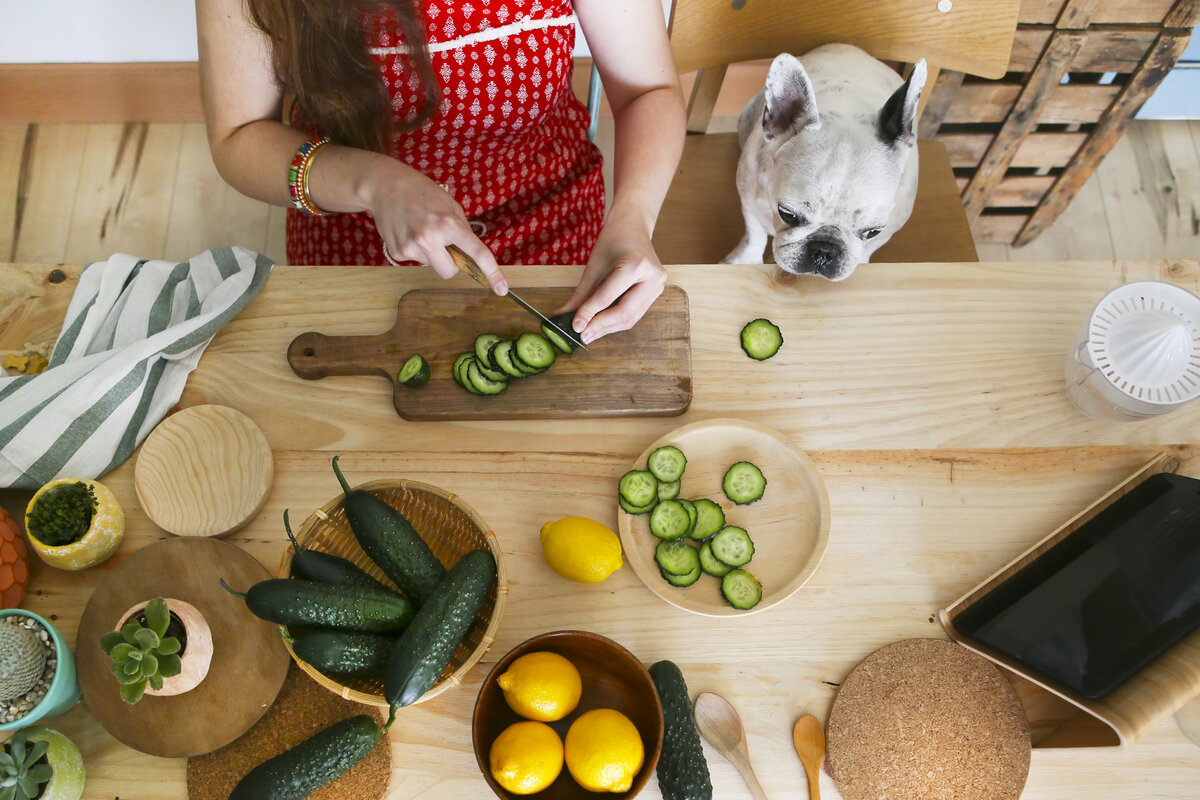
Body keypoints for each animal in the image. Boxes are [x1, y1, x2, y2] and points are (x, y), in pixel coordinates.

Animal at [720, 44, 926, 281]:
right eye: (787, 214)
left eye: (873, 231)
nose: (824, 251)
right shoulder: (749, 201)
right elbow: (755, 233)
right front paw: (745, 259)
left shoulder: (888, 230)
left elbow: (869, 248)